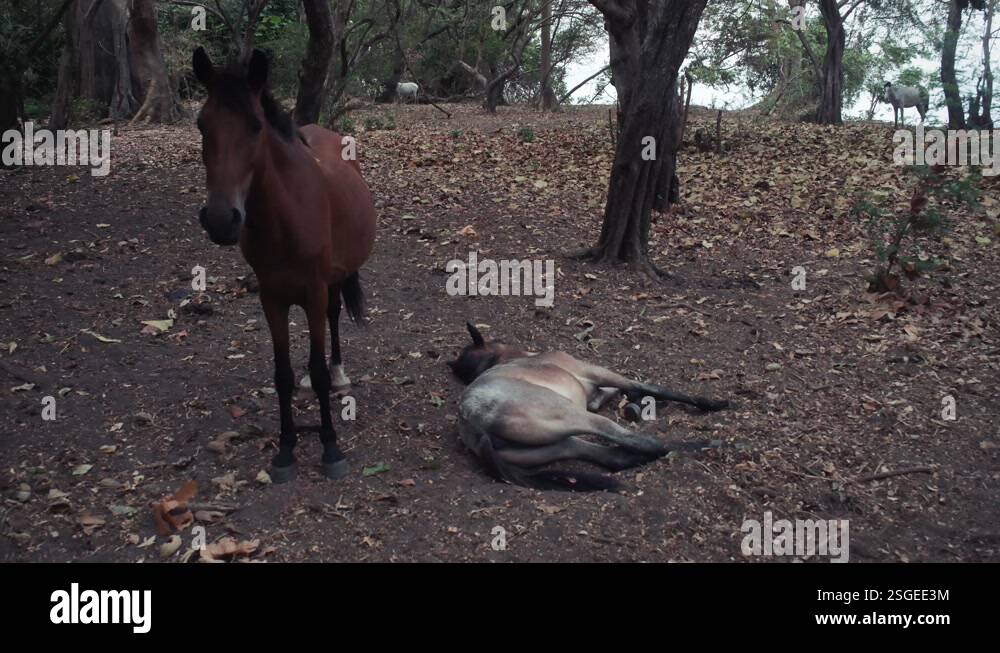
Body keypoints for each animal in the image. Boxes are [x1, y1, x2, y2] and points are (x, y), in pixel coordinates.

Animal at [192, 48, 376, 482]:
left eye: (255, 125)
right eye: (201, 124)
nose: (221, 219)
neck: (285, 215)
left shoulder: (312, 290)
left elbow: (319, 369)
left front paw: (330, 447)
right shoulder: (272, 298)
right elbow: (282, 375)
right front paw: (286, 449)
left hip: (330, 280)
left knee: (333, 315)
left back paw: (339, 371)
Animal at [448, 322, 730, 491]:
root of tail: (474, 422)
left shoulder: (593, 393)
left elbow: (613, 393)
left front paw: (634, 403)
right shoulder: (597, 372)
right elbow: (647, 385)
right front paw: (713, 403)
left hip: (557, 444)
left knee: (612, 457)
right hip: (575, 417)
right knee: (644, 442)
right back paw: (715, 445)